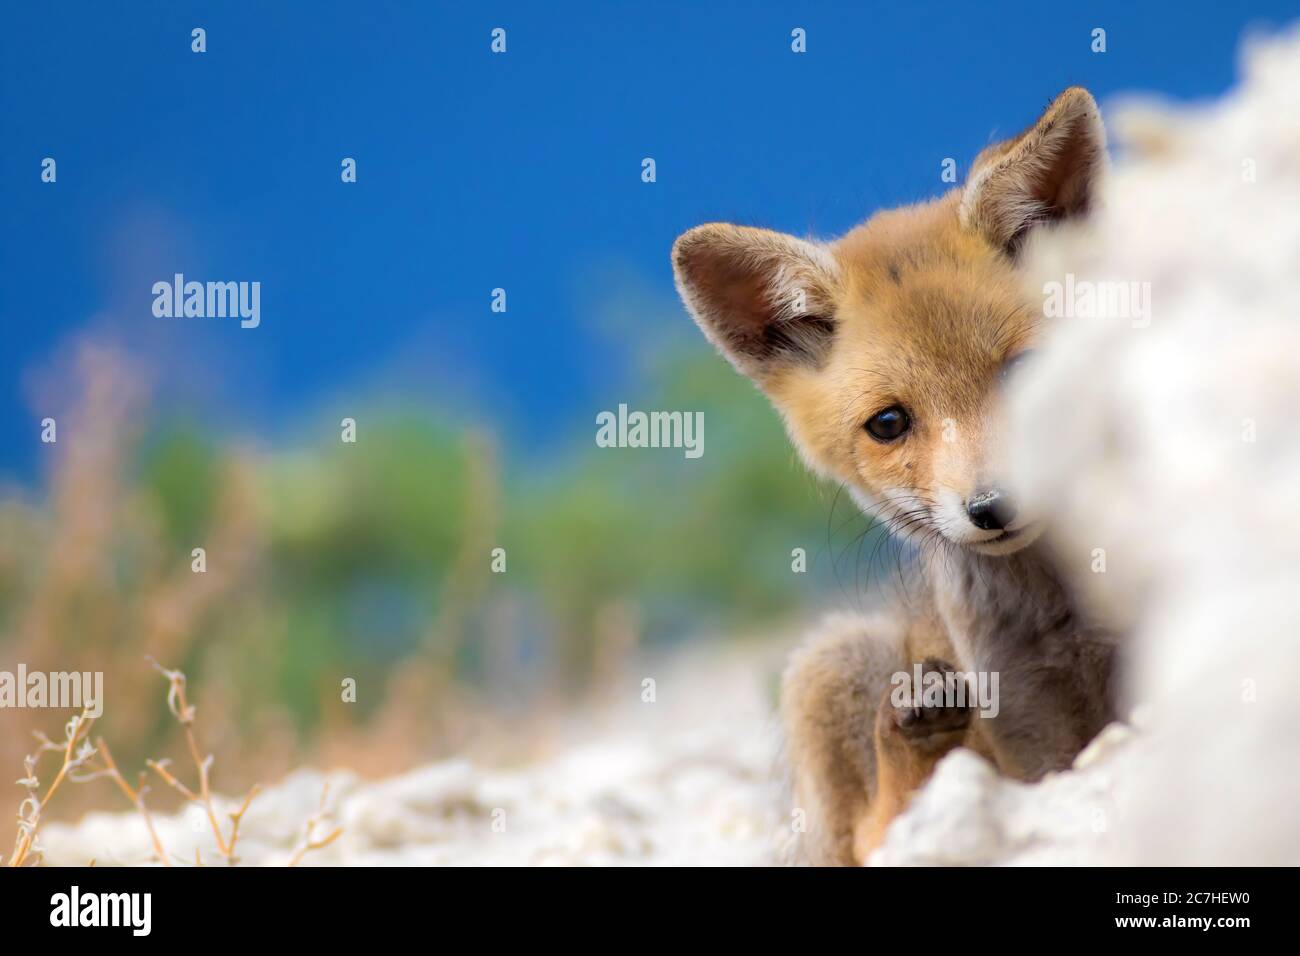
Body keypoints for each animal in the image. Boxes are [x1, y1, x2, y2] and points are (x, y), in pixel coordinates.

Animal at [671, 88, 1121, 865]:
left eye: (1025, 373)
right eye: (888, 423)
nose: (995, 506)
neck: (1064, 612)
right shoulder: (1026, 723)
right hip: (828, 664)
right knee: (881, 833)